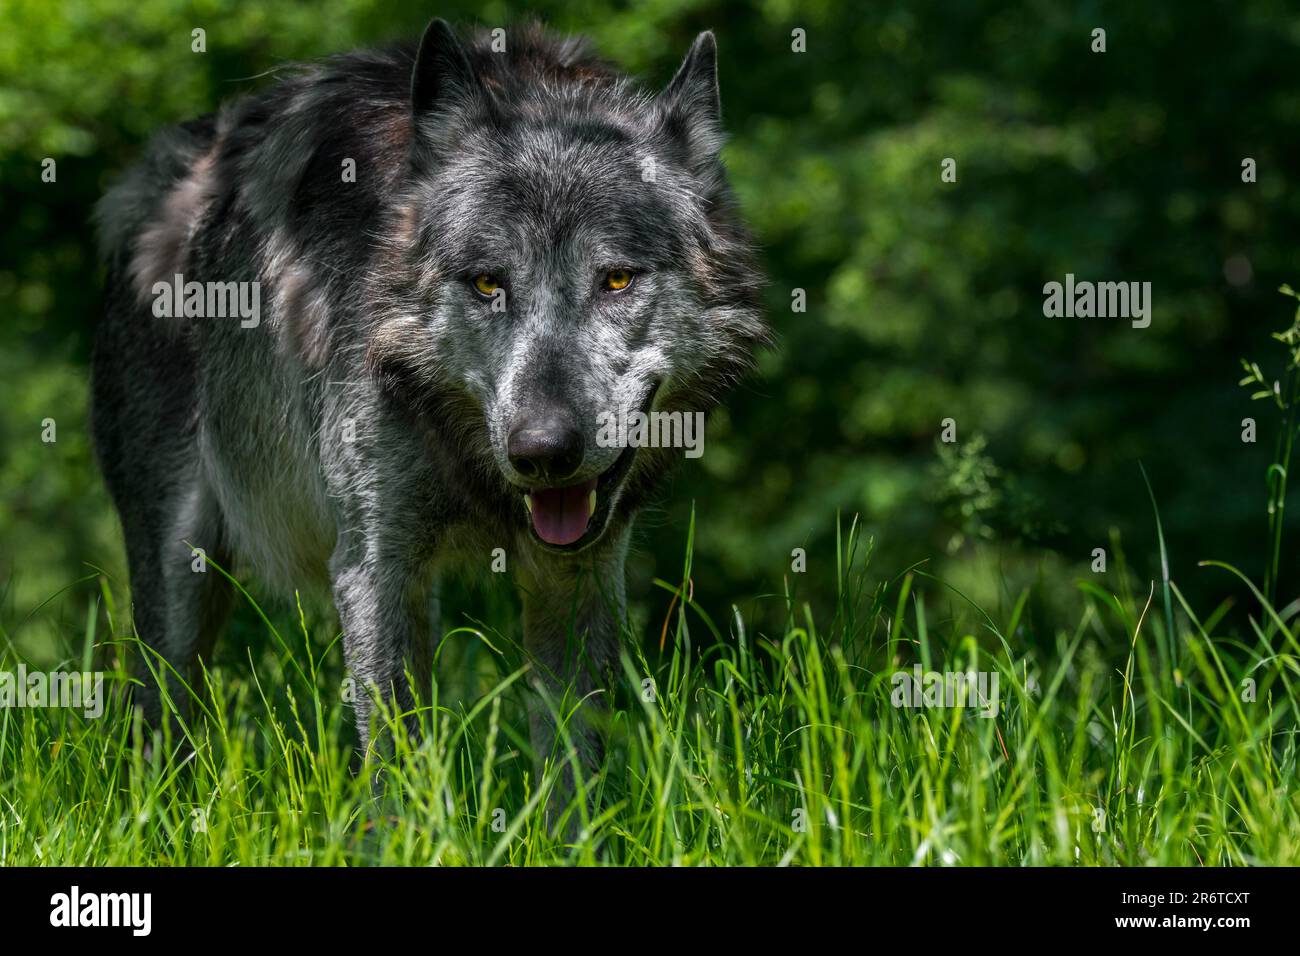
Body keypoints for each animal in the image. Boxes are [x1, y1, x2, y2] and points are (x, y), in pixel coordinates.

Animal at [91, 17, 767, 814]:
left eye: (618, 279)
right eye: (487, 284)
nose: (543, 450)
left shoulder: (579, 578)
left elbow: (574, 769)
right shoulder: (373, 568)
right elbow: (393, 768)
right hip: (180, 580)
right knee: (154, 726)